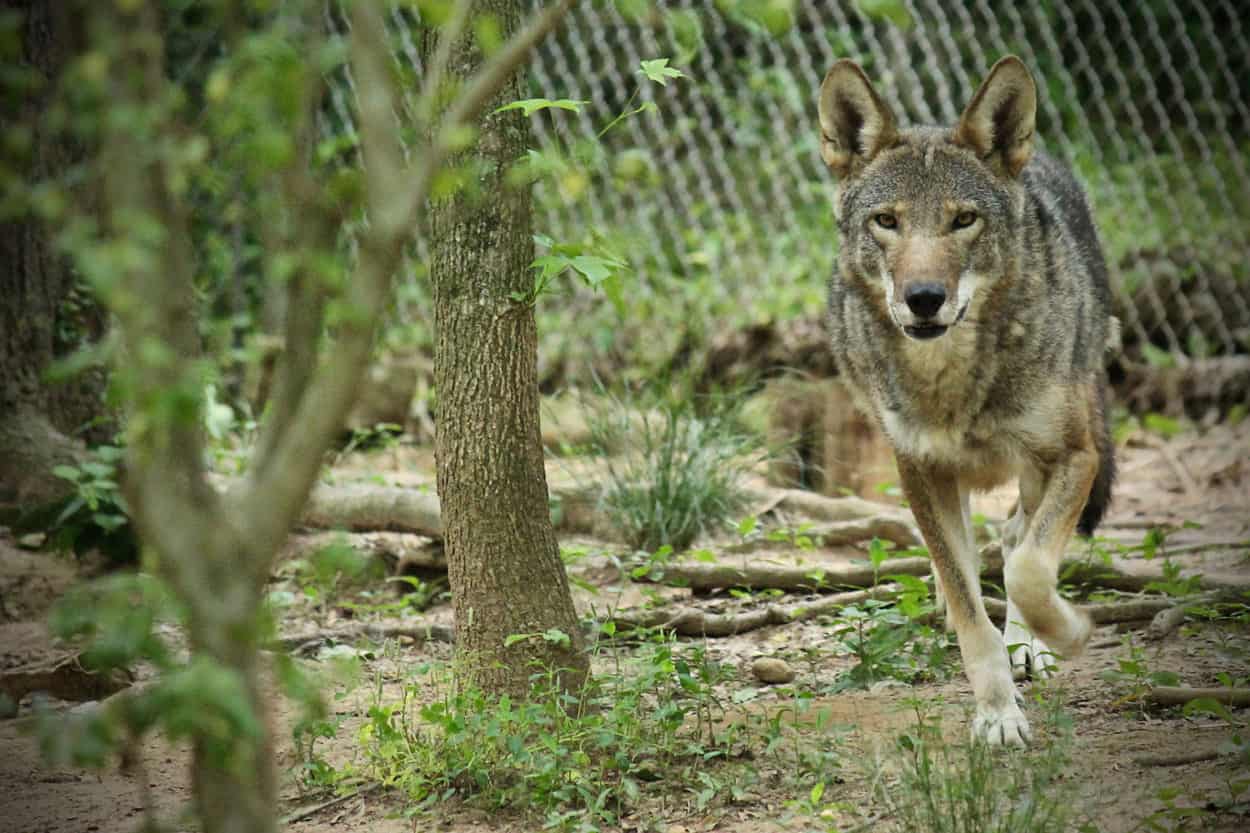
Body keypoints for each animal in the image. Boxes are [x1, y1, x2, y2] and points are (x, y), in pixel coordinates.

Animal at [817, 56, 1115, 746]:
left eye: (963, 220)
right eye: (888, 221)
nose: (924, 298)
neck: (951, 383)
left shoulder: (1075, 455)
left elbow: (1029, 570)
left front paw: (1064, 633)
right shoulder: (919, 470)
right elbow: (967, 601)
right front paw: (998, 713)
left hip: (1043, 462)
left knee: (1014, 537)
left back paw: (1033, 643)